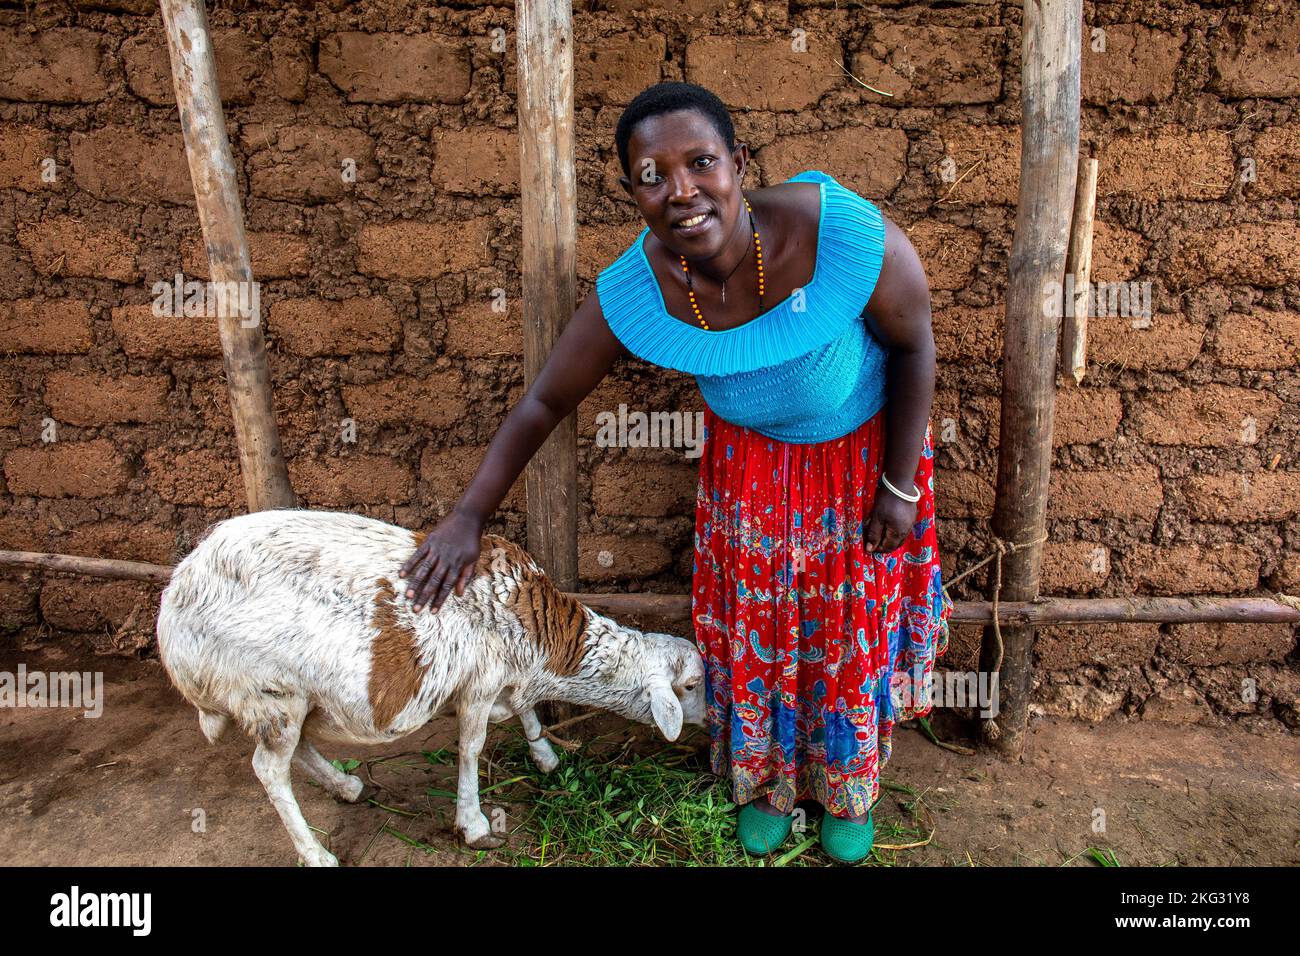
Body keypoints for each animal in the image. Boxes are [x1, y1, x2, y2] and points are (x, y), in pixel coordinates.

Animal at [155, 509, 706, 866]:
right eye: (693, 684)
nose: (716, 718)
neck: (543, 641)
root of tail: (174, 602)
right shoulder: (480, 684)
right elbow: (471, 748)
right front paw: (474, 823)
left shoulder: (506, 677)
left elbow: (525, 712)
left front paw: (545, 754)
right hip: (268, 691)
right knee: (270, 770)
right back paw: (316, 853)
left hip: (293, 697)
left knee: (299, 749)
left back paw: (346, 786)